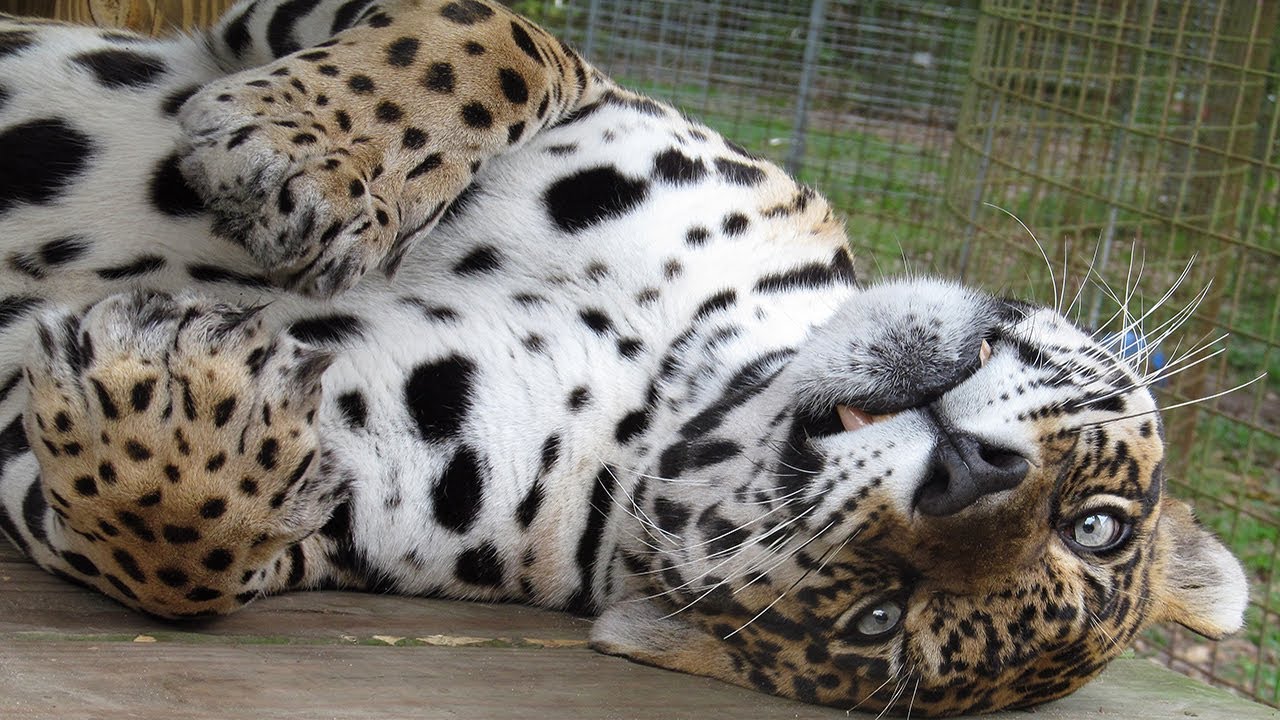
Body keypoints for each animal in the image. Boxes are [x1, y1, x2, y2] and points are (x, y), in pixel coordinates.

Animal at [0, 0, 1249, 715]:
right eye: (1098, 525)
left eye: (880, 621)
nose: (968, 472)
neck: (673, 366)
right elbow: (494, 37)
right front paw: (299, 152)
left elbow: (183, 551)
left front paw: (167, 393)